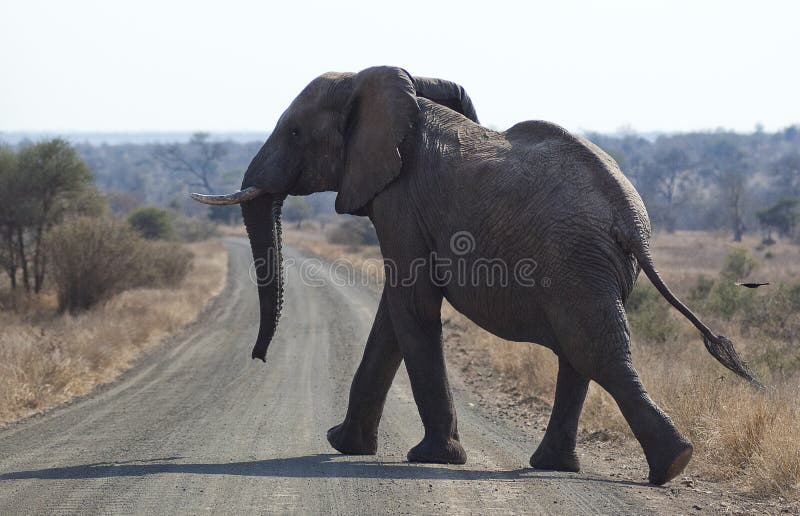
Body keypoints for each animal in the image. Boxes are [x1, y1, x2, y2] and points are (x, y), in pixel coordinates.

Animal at [192, 66, 760, 485]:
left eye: (294, 132)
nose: (259, 357)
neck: (379, 86)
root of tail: (631, 219)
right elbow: (393, 312)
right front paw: (343, 444)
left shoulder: (400, 199)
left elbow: (411, 304)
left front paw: (432, 458)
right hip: (590, 265)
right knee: (581, 351)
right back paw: (567, 465)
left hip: (576, 260)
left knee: (596, 351)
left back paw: (669, 466)